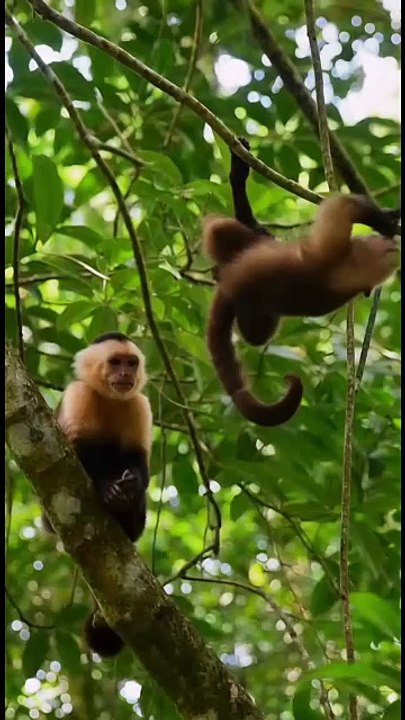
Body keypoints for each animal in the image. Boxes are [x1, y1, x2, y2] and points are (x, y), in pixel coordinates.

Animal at [42, 332, 152, 657]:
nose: (126, 374)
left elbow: (139, 462)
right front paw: (107, 488)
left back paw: (127, 518)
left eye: (132, 363)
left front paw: (129, 487)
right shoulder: (79, 393)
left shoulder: (139, 404)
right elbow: (75, 448)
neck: (110, 399)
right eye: (115, 362)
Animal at [203, 169, 400, 426]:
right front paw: (388, 219)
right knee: (256, 335)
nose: (389, 246)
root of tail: (229, 289)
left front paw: (386, 219)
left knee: (219, 230)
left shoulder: (335, 247)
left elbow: (341, 207)